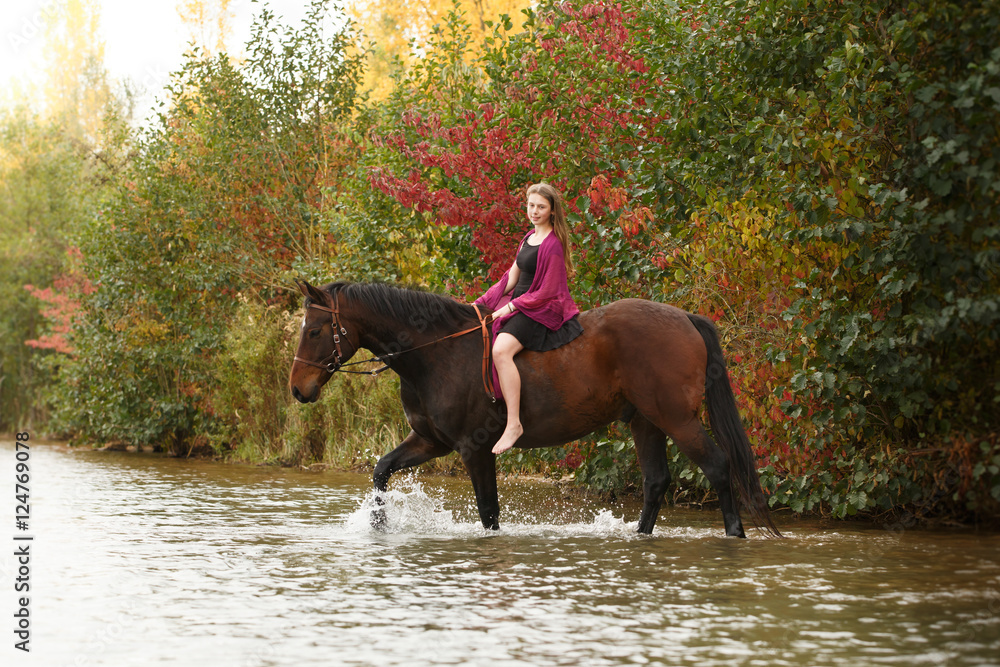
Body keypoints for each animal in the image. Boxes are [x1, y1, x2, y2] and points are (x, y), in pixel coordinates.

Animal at [289, 280, 780, 537]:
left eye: (314, 331)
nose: (297, 389)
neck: (436, 353)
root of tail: (685, 318)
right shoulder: (431, 441)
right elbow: (381, 470)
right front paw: (377, 524)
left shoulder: (473, 449)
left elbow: (489, 513)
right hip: (646, 422)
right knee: (656, 482)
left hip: (676, 419)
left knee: (717, 466)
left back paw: (735, 535)